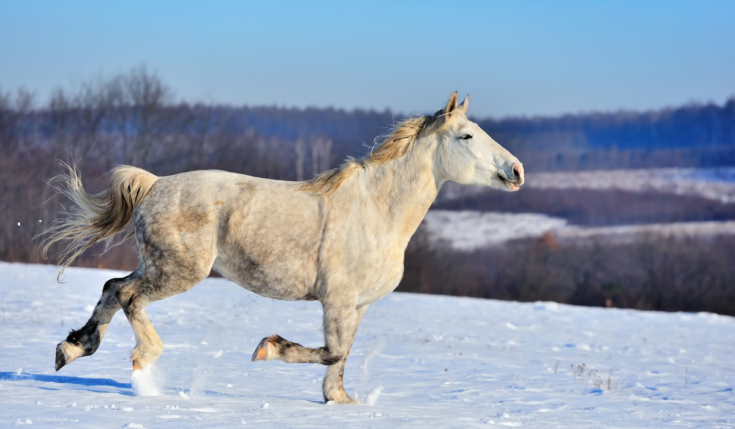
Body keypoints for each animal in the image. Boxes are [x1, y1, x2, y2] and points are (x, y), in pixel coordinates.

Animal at [42, 92, 524, 404]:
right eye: (466, 137)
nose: (517, 171)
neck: (377, 212)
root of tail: (155, 184)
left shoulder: (358, 305)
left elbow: (342, 357)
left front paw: (339, 400)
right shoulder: (336, 300)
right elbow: (332, 351)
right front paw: (267, 348)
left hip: (158, 265)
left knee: (111, 286)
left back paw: (71, 350)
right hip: (179, 271)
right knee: (127, 294)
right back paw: (143, 366)